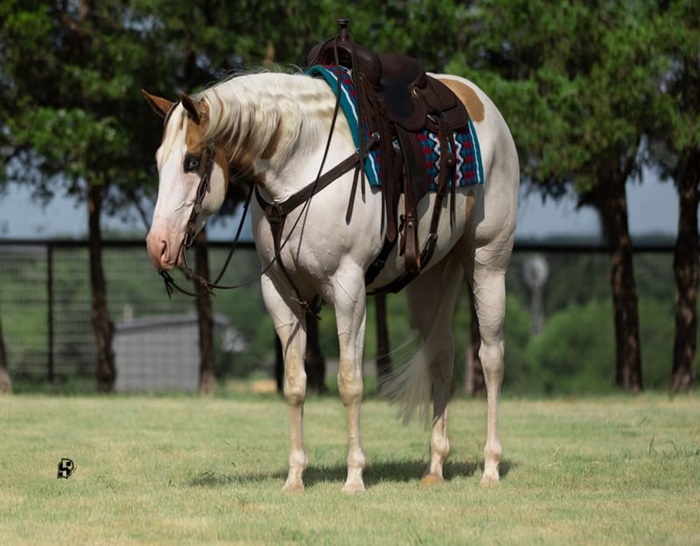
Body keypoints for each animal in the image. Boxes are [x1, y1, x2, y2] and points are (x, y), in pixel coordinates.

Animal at [142, 62, 519, 493]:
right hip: (431, 277)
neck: (301, 167)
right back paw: (435, 466)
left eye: (190, 162)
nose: (158, 245)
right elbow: (294, 384)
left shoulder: (348, 288)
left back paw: (490, 467)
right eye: (159, 160)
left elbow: (350, 383)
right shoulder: (280, 293)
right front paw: (294, 477)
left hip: (488, 263)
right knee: (442, 355)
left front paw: (354, 476)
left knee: (491, 359)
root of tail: (480, 102)